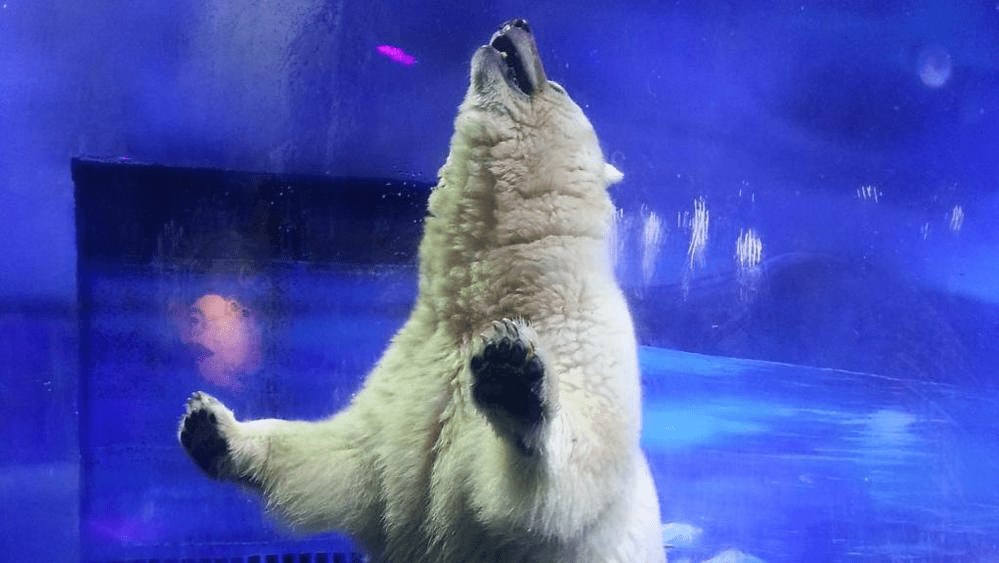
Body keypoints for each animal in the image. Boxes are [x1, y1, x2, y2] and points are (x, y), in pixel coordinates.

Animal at [179, 18, 666, 563]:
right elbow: (344, 458)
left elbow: (569, 482)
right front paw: (210, 425)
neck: (492, 296)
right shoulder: (412, 371)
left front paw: (512, 374)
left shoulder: (586, 341)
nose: (518, 23)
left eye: (556, 86)